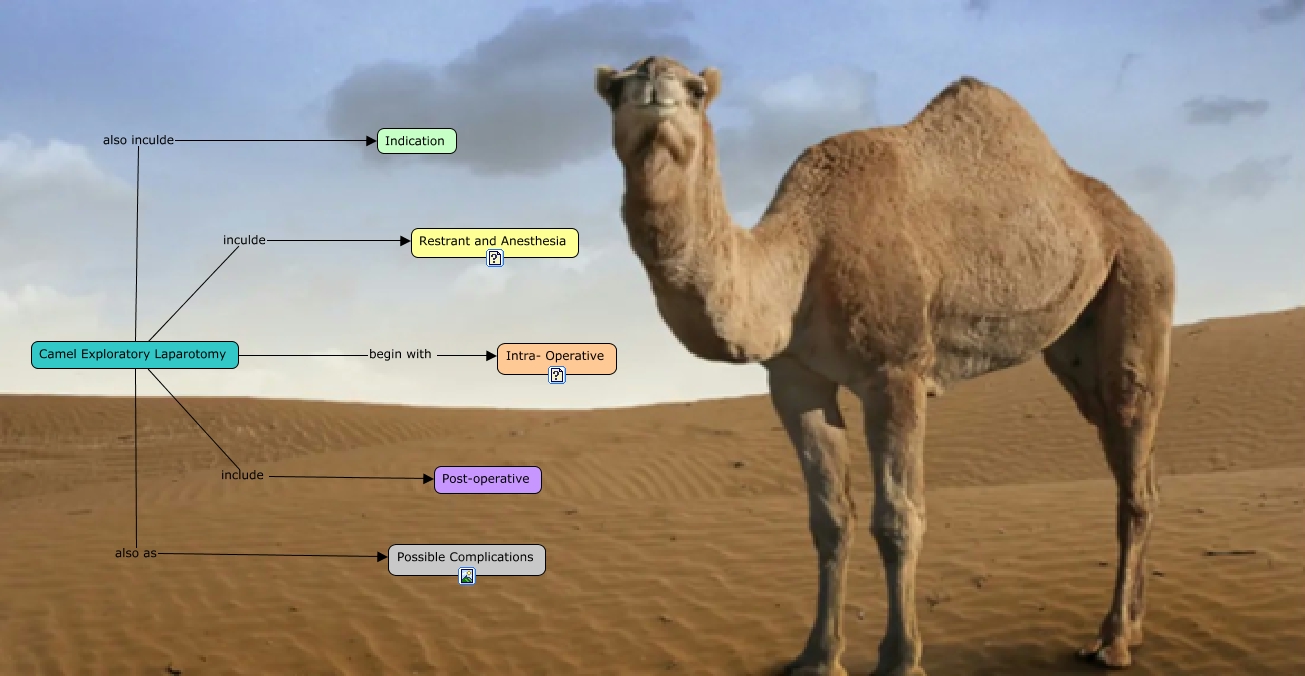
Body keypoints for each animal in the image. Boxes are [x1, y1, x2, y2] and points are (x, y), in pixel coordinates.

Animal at [594, 56, 1175, 675]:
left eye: (697, 91)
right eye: (615, 89)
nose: (653, 81)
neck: (803, 256)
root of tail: (1142, 228)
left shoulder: (896, 371)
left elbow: (898, 519)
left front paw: (899, 658)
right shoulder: (794, 378)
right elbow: (829, 518)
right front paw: (817, 656)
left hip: (1141, 283)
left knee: (1132, 457)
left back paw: (1114, 641)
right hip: (1075, 342)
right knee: (1130, 461)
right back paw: (1133, 625)